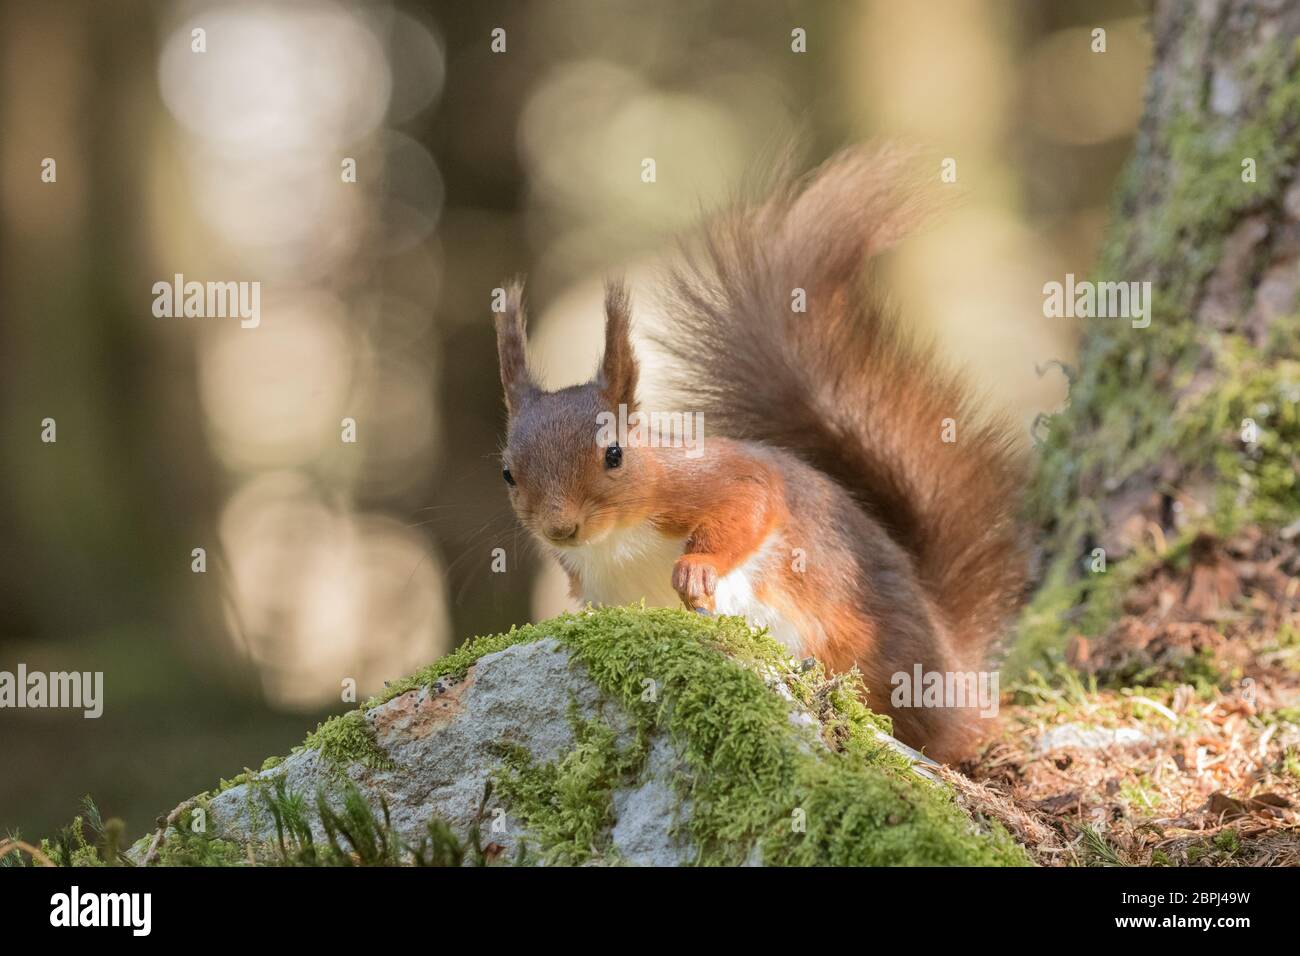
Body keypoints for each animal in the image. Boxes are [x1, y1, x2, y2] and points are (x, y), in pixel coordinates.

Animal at [493, 147, 1028, 763]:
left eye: (614, 455)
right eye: (507, 473)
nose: (561, 529)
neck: (617, 543)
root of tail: (960, 675)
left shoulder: (708, 478)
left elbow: (750, 501)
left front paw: (697, 568)